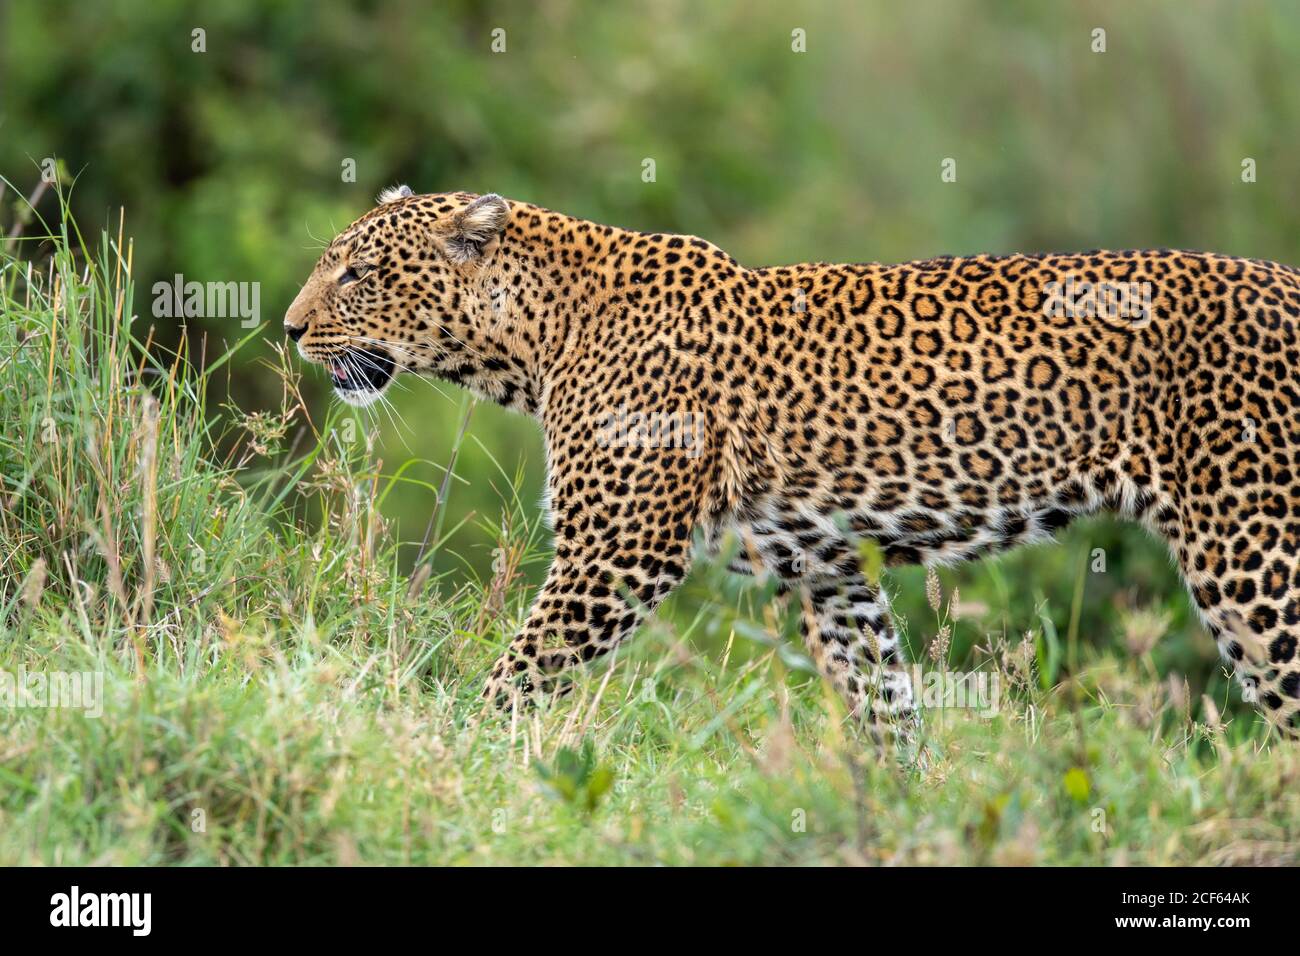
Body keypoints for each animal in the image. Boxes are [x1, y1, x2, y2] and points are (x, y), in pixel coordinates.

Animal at [284, 185, 1300, 743]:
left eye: (356, 275)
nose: (289, 329)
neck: (533, 342)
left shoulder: (616, 556)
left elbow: (515, 677)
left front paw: (445, 745)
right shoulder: (831, 570)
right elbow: (884, 704)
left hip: (1255, 559)